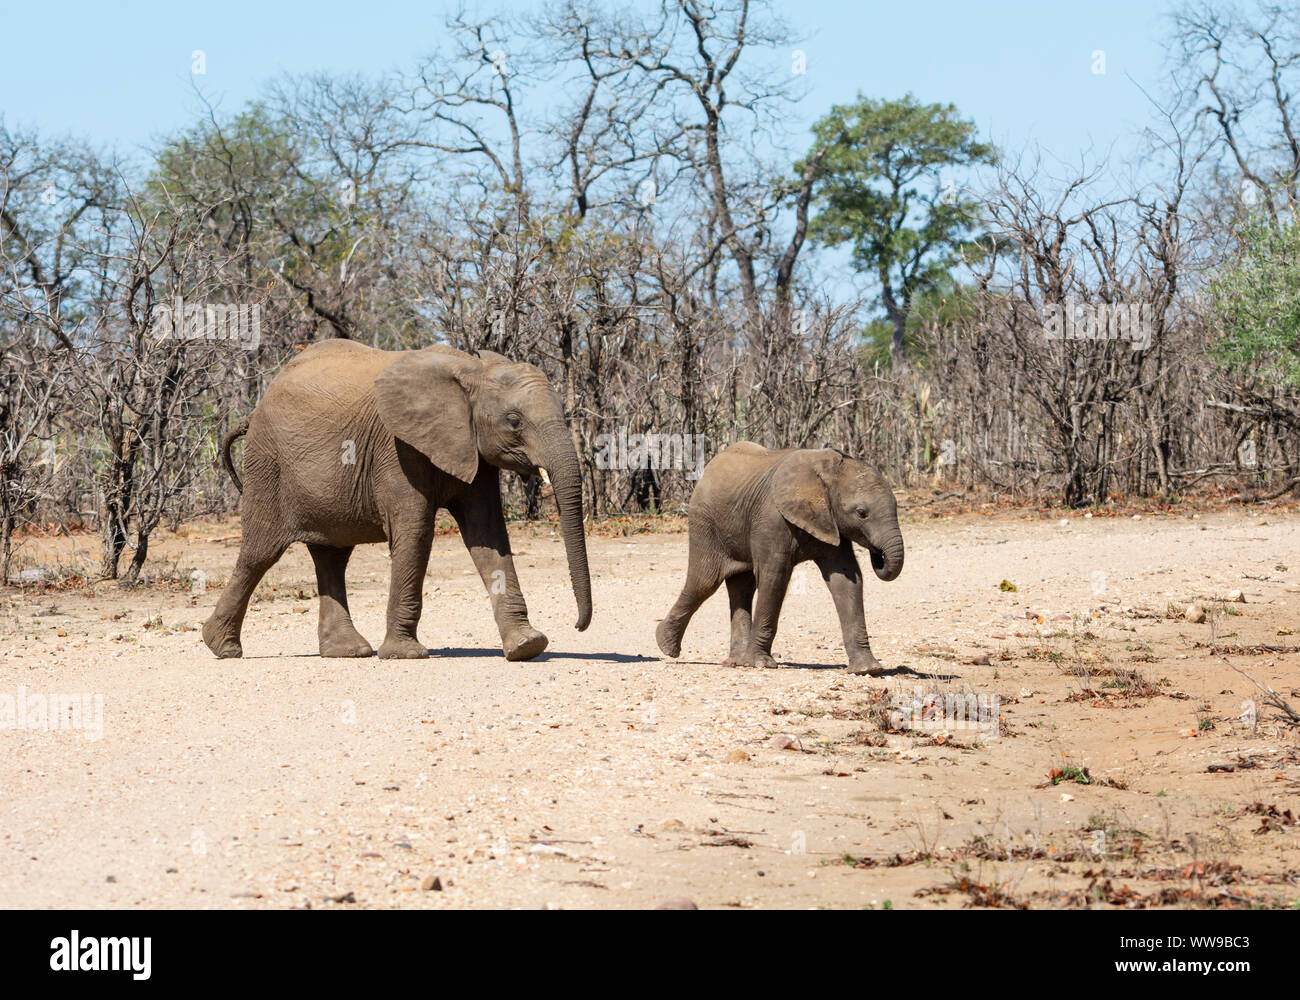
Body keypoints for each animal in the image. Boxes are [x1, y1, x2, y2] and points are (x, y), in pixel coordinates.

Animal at [201, 338, 592, 661]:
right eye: (513, 421)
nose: (577, 625)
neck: (471, 370)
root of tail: (253, 412)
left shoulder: (472, 450)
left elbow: (488, 534)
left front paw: (528, 646)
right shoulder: (397, 448)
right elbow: (416, 531)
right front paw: (406, 655)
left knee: (332, 557)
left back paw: (348, 651)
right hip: (269, 464)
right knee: (260, 554)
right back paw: (221, 647)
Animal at [655, 443, 903, 674]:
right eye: (861, 513)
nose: (877, 555)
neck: (824, 473)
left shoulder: (831, 523)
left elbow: (846, 579)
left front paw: (868, 669)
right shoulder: (772, 519)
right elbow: (774, 576)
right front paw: (760, 664)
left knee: (741, 586)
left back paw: (737, 661)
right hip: (704, 522)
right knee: (704, 582)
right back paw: (666, 645)